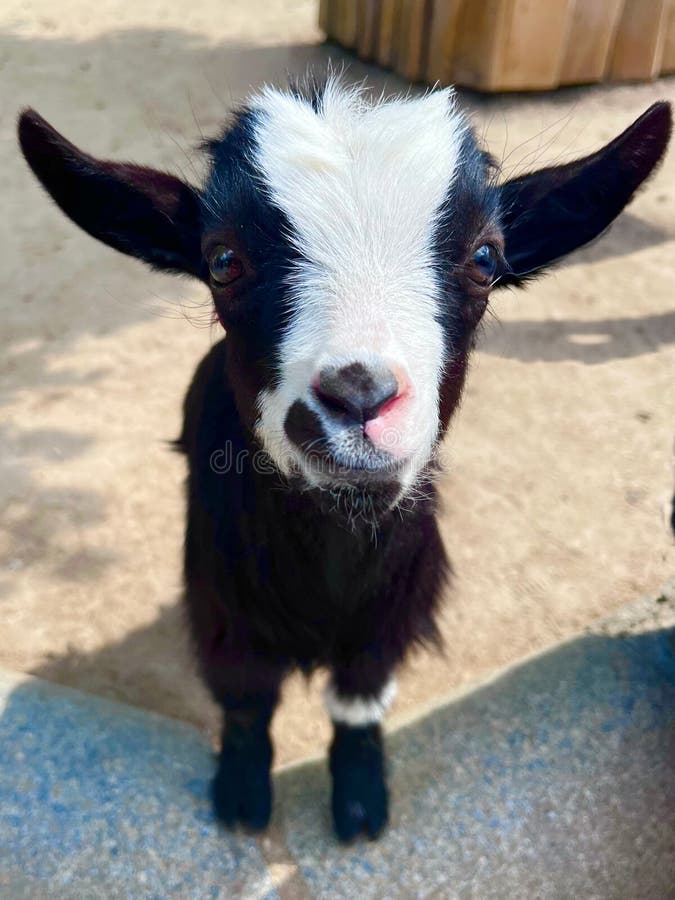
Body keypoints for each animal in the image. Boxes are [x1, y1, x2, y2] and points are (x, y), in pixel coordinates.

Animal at [18, 78, 671, 841]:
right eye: (222, 261)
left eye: (485, 259)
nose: (360, 398)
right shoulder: (223, 601)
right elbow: (246, 698)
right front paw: (241, 797)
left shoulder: (392, 607)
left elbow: (359, 698)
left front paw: (360, 803)